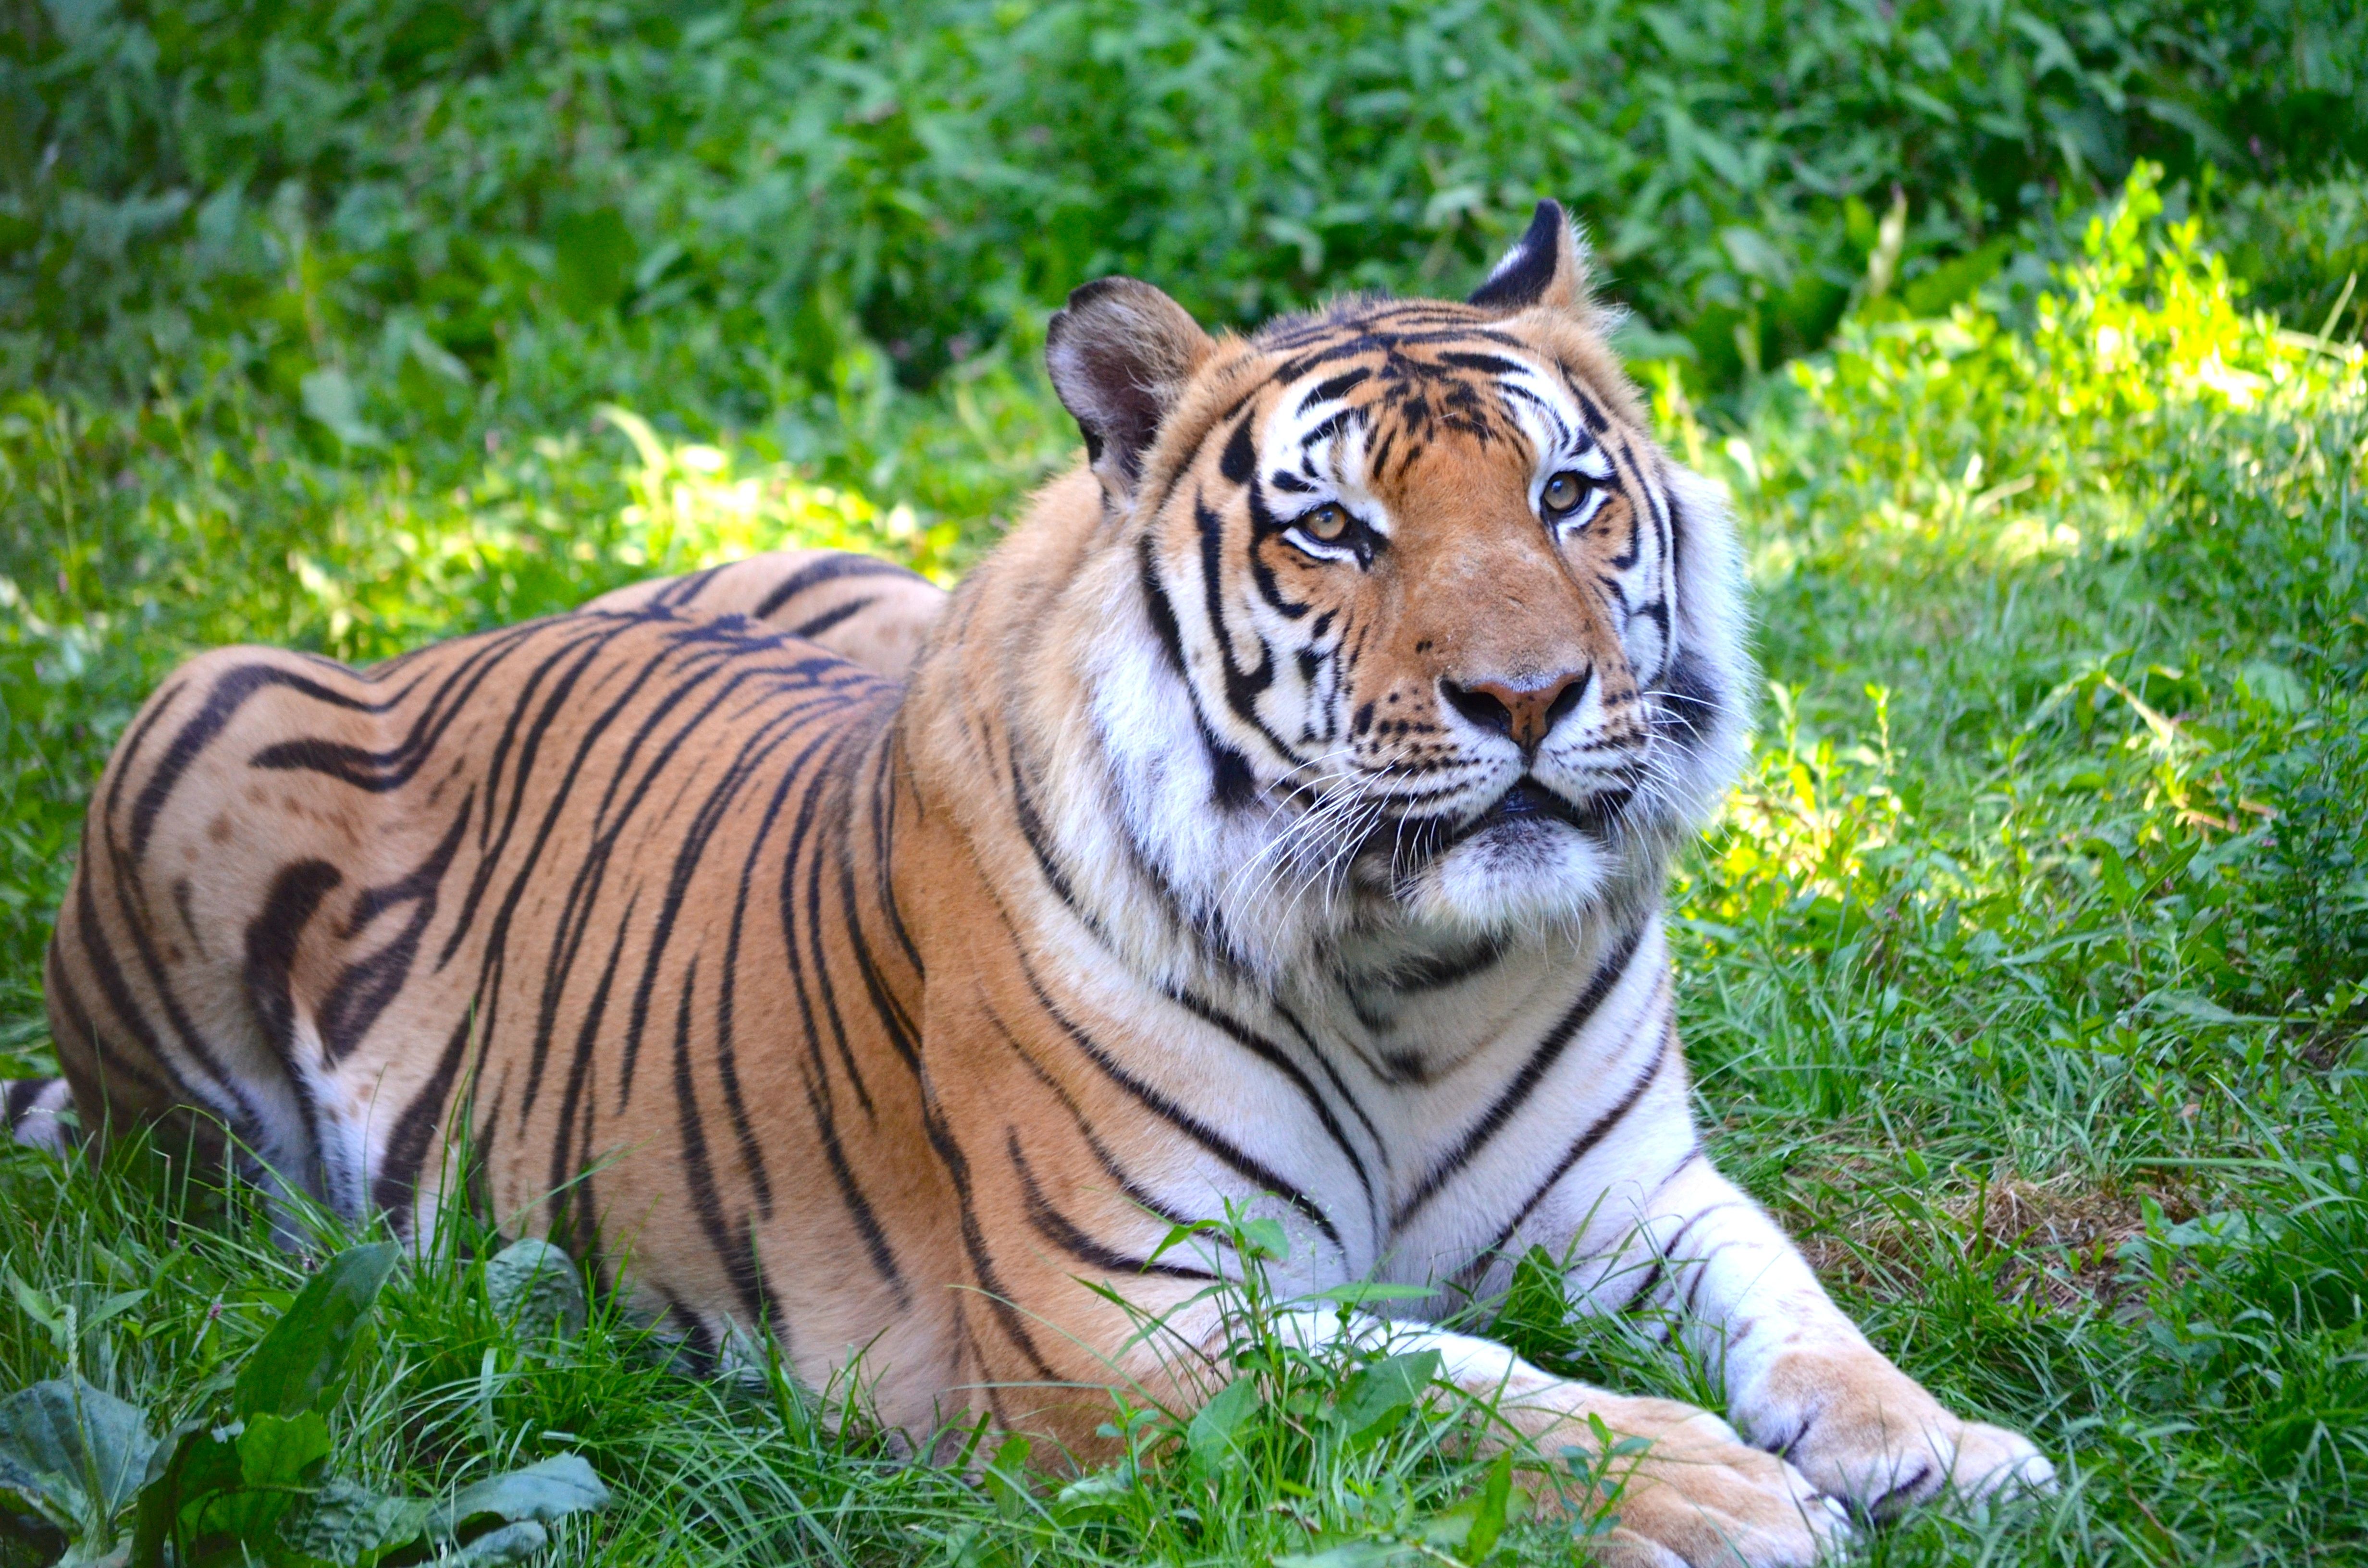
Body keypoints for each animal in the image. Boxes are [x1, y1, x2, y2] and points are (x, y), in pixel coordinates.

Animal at [25, 202, 2050, 1566]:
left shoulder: (1636, 1195)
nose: (1531, 695)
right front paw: (1711, 1488)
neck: (1419, 969)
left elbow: (1801, 1311)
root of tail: (503, 613)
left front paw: (1948, 1448)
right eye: (1335, 528)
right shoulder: (1118, 1314)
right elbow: (1435, 1375)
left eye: (1564, 494)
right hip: (199, 712)